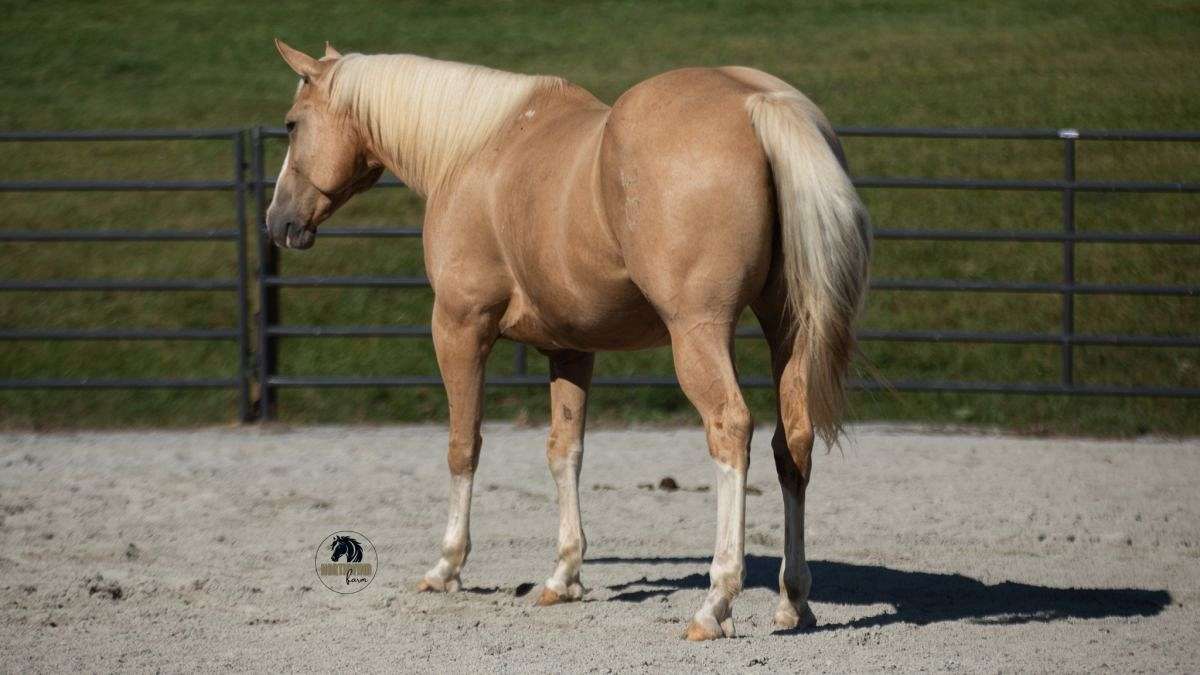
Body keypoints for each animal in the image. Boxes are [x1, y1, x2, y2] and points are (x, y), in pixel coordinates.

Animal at [267, 40, 871, 640]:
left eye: (292, 124)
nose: (278, 223)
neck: (474, 149)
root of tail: (756, 103)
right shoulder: (570, 349)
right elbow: (565, 452)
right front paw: (564, 575)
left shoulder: (459, 325)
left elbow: (463, 447)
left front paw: (446, 566)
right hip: (787, 328)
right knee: (791, 443)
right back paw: (794, 600)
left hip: (698, 333)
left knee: (731, 429)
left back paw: (715, 601)